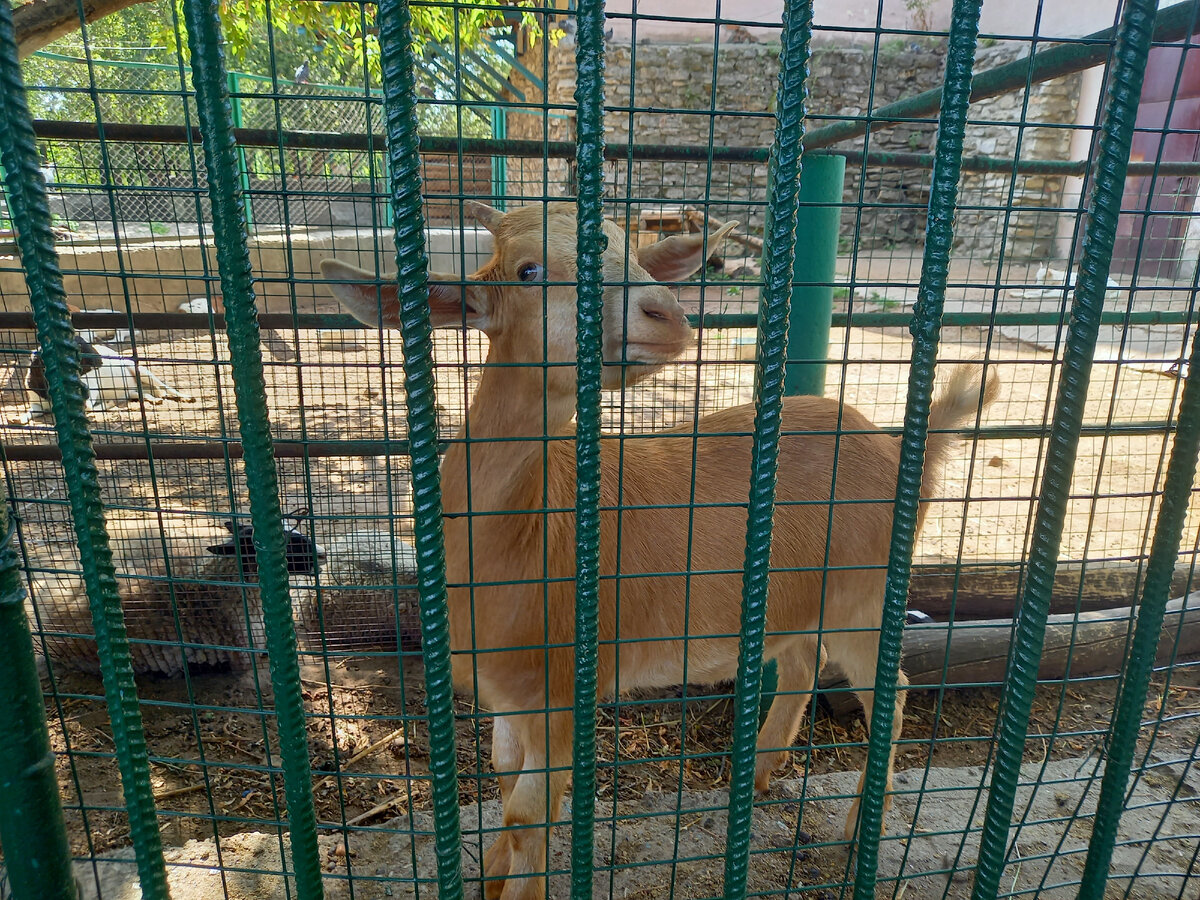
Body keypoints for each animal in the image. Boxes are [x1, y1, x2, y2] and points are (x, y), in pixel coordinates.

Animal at [321, 204, 1003, 900]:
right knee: (803, 663)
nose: (666, 312)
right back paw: (757, 775)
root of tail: (898, 449)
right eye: (527, 270)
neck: (527, 534)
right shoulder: (510, 693)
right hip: (799, 599)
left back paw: (855, 830)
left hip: (864, 592)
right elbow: (505, 782)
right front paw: (487, 880)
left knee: (888, 689)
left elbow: (526, 815)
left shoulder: (567, 687)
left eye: (635, 256)